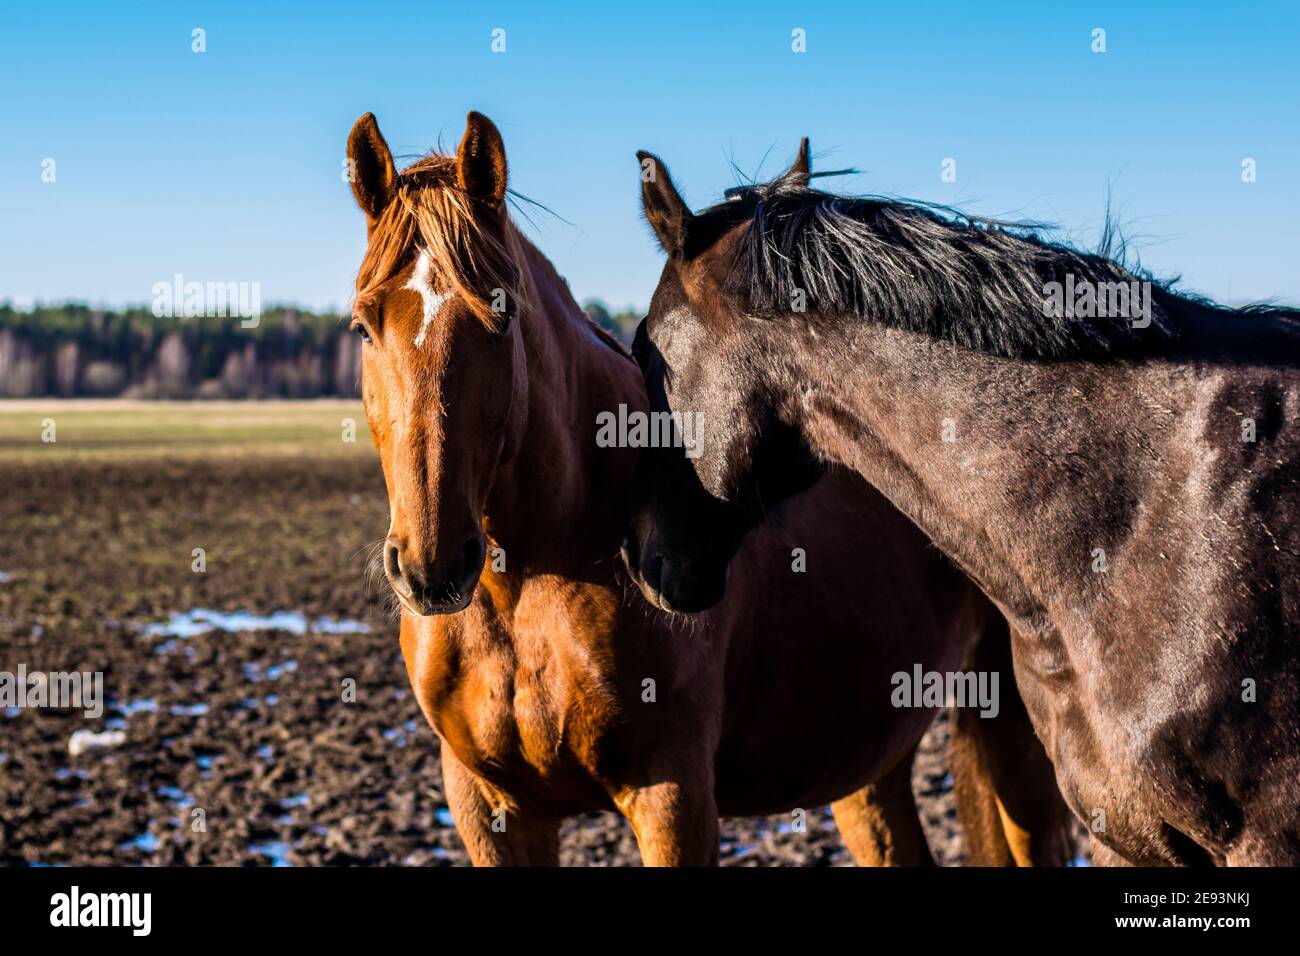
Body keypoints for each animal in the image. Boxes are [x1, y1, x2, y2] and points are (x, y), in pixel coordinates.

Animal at [345, 110, 1071, 865]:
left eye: (502, 315)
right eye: (363, 326)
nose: (431, 566)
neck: (533, 579)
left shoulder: (672, 798)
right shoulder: (491, 808)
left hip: (1011, 730)